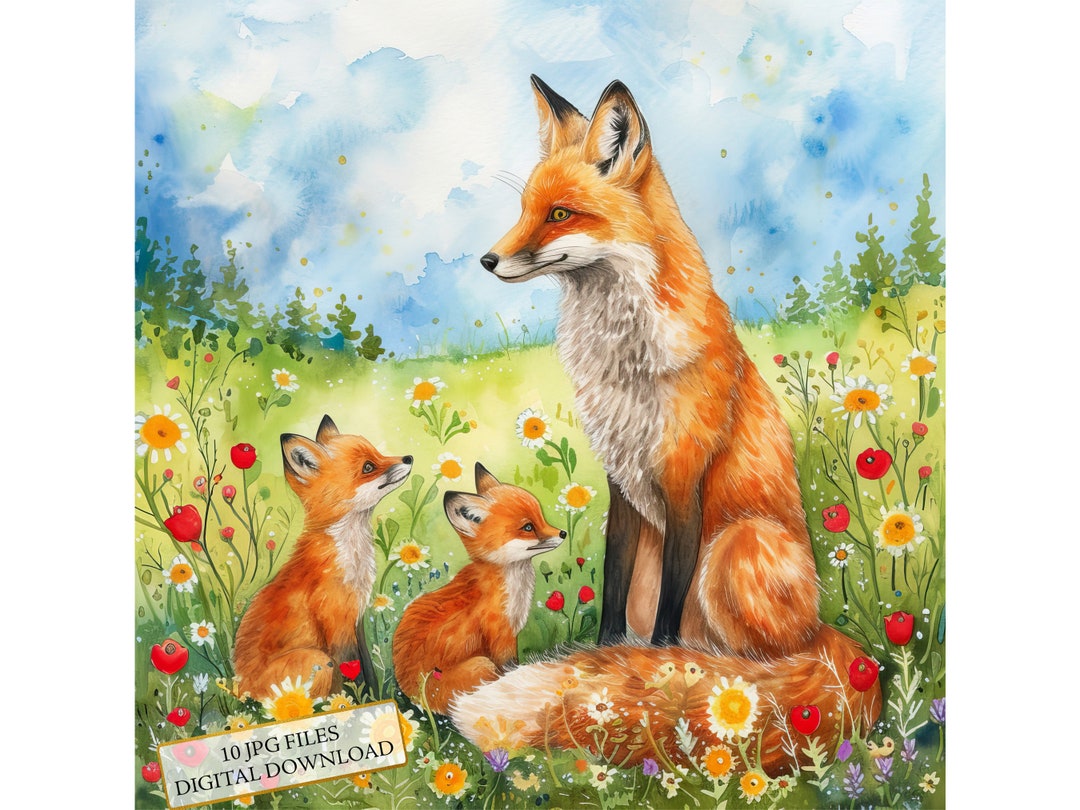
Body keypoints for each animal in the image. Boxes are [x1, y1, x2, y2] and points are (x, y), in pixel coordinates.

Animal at [232, 415, 412, 701]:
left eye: (377, 453)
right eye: (368, 466)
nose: (409, 458)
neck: (351, 556)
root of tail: (238, 690)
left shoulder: (356, 619)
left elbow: (368, 672)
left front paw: (376, 699)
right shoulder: (337, 626)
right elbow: (352, 676)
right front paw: (356, 705)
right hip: (319, 660)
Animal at [392, 463, 565, 715]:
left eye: (541, 518)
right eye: (528, 527)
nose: (563, 533)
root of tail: (415, 698)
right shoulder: (501, 637)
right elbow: (510, 669)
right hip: (482, 665)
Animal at [458, 76, 881, 774]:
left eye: (560, 214)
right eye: (525, 208)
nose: (489, 260)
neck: (625, 361)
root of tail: (824, 634)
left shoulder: (683, 482)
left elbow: (663, 631)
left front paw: (658, 680)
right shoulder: (622, 485)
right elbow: (611, 595)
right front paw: (610, 663)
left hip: (734, 545)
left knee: (750, 659)